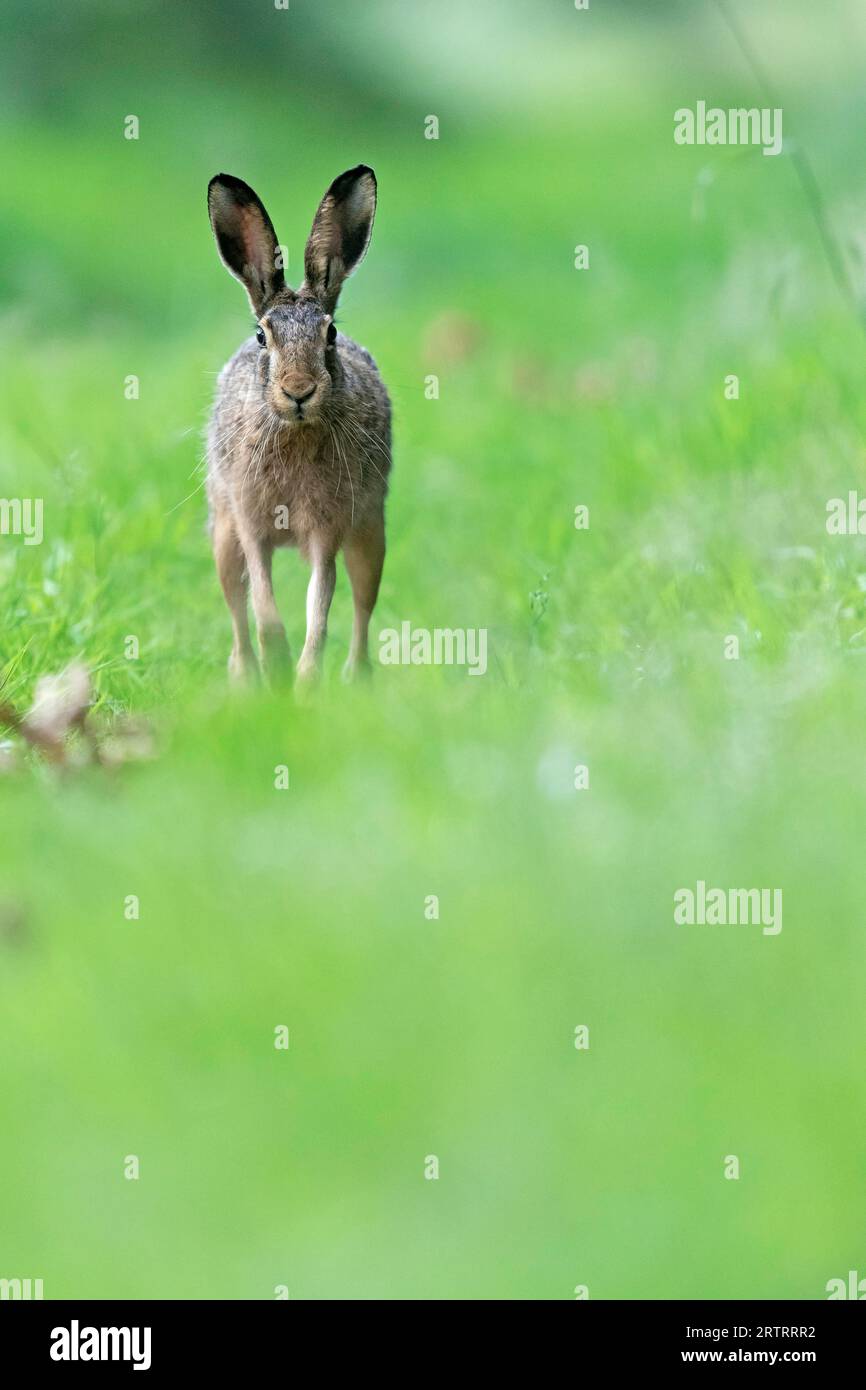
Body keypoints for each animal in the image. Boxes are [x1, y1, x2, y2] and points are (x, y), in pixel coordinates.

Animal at [205, 165, 391, 685]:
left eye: (330, 333)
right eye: (261, 336)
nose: (299, 390)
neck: (295, 430)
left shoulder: (327, 528)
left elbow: (320, 609)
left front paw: (305, 679)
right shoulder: (249, 522)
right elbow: (265, 608)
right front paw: (280, 667)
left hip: (371, 532)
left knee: (363, 605)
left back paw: (357, 678)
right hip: (222, 536)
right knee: (236, 607)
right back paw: (246, 677)